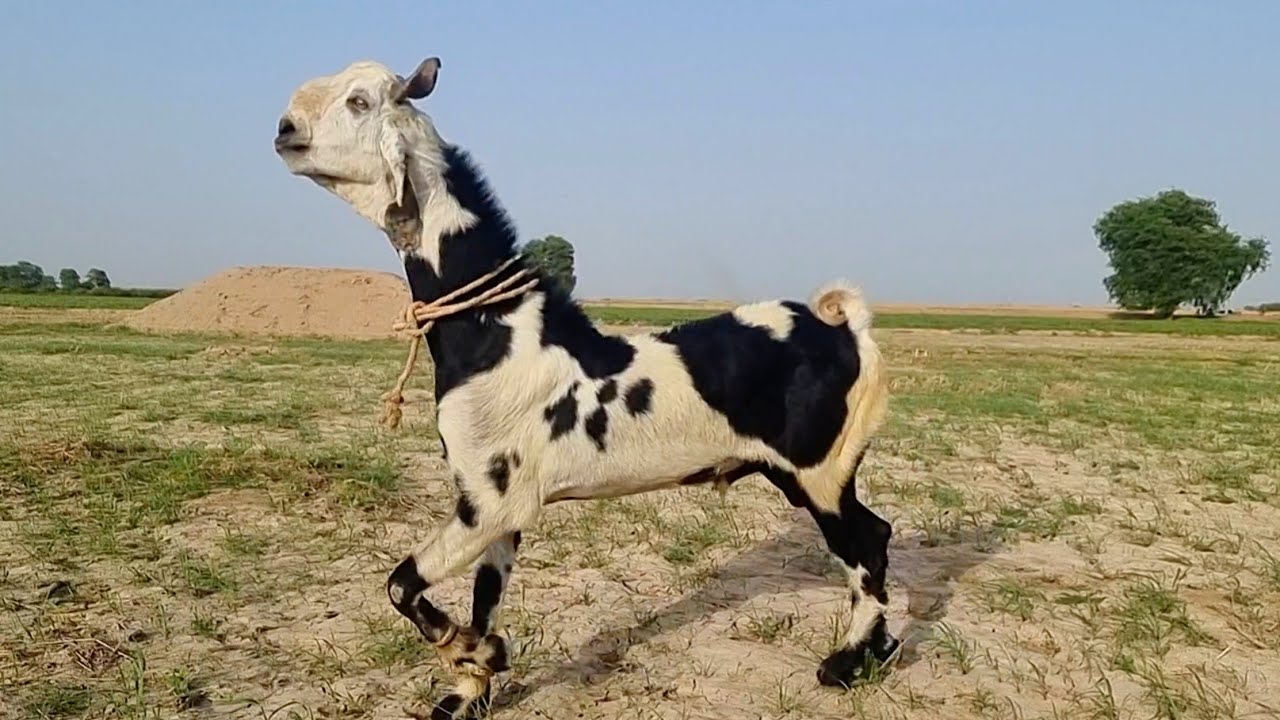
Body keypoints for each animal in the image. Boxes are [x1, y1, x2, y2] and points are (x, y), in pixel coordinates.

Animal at [275, 56, 898, 719]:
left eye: (359, 101)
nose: (285, 129)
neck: (498, 331)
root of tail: (844, 327)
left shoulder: (488, 503)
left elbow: (401, 585)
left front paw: (471, 652)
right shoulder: (497, 508)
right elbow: (483, 599)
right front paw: (471, 686)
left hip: (818, 475)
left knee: (867, 545)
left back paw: (848, 662)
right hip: (810, 477)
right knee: (875, 535)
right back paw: (875, 653)